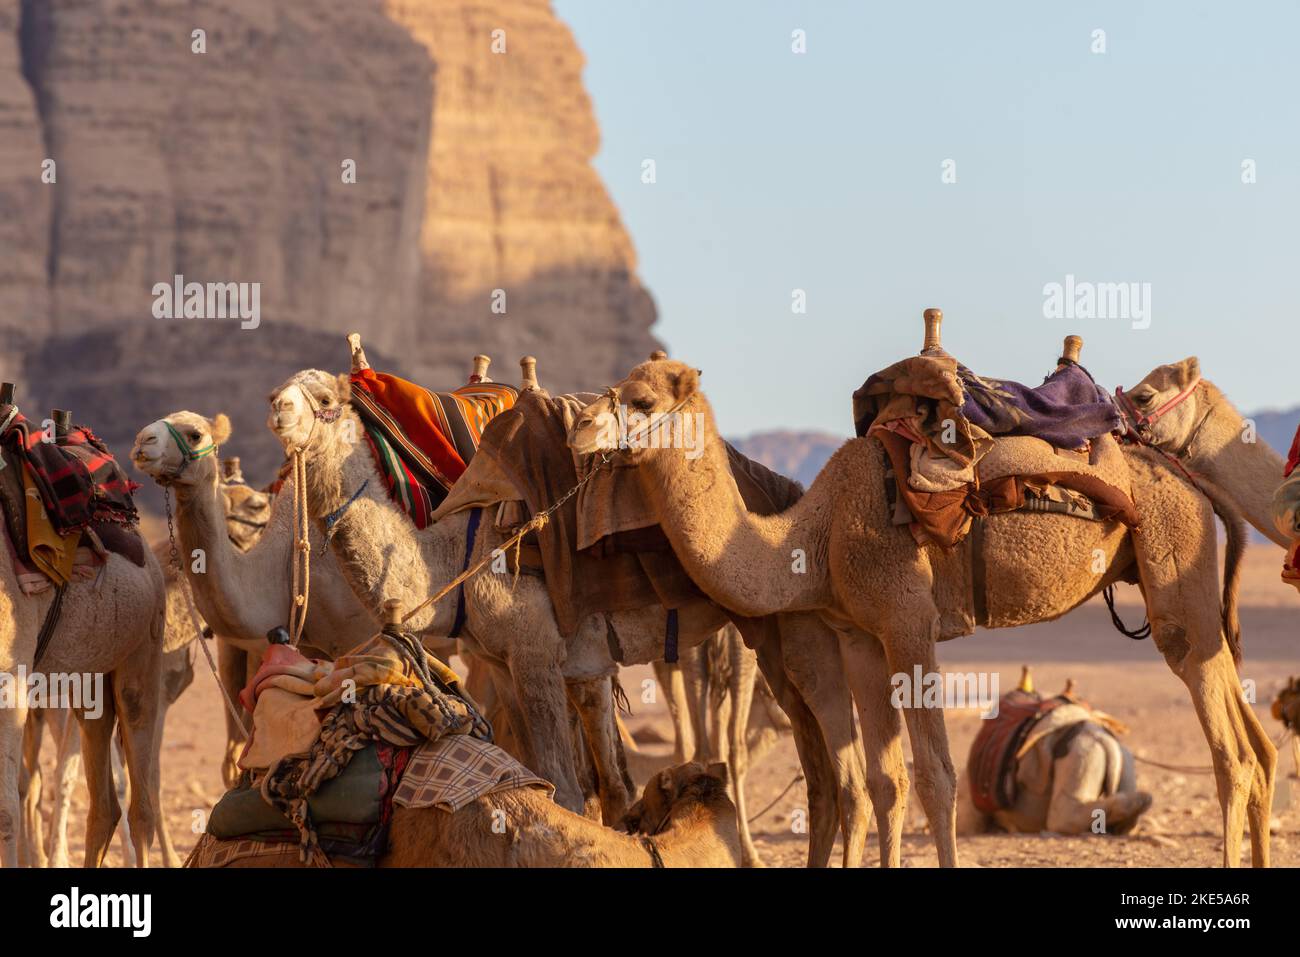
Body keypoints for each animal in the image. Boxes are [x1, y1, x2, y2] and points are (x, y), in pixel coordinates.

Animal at [260, 364, 883, 865]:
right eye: (286, 387)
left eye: (326, 398)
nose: (275, 406)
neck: (453, 558)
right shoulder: (509, 662)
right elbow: (576, 779)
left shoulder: (535, 652)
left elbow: (561, 782)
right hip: (772, 635)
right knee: (816, 765)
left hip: (795, 632)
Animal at [567, 344, 1276, 868]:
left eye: (642, 400)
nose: (579, 427)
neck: (816, 535)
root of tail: (1194, 483)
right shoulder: (860, 636)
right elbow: (886, 782)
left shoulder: (909, 622)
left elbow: (936, 778)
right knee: (1255, 744)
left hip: (1176, 572)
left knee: (1230, 752)